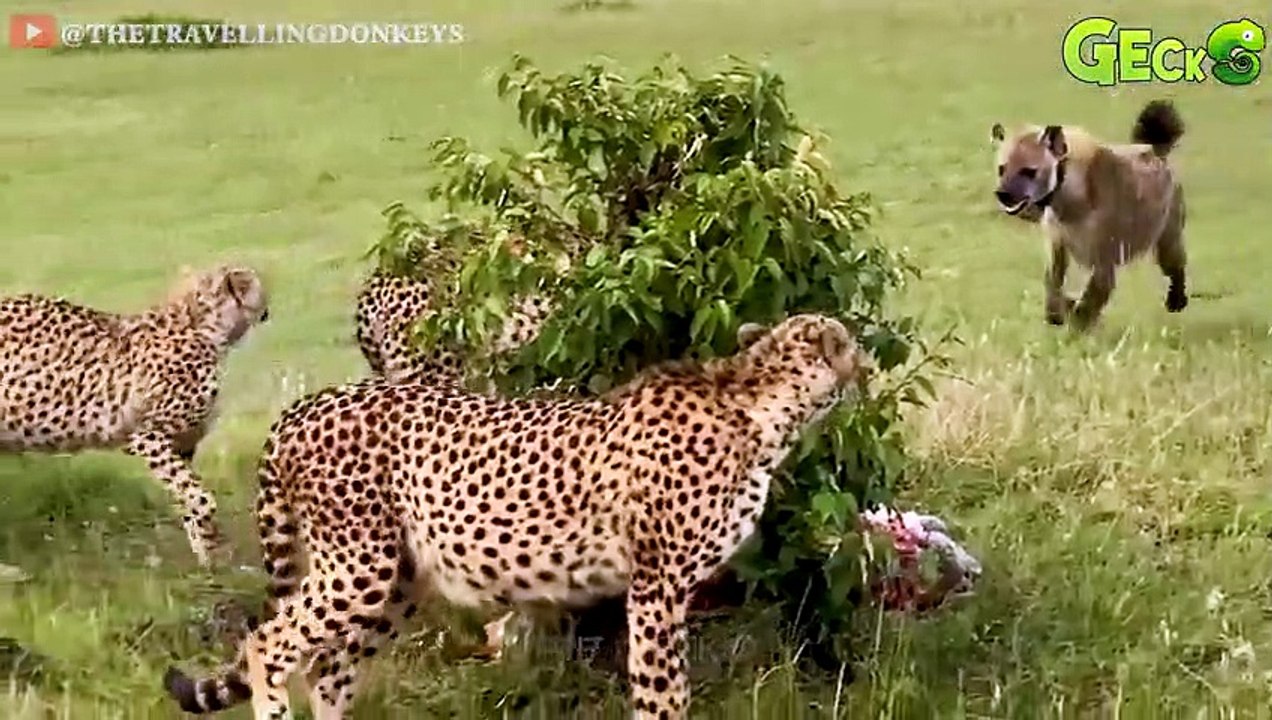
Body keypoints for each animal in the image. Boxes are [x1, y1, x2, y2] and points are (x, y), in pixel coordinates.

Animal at [0, 264, 269, 568]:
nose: (266, 306)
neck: (202, 323)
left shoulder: (181, 444)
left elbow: (187, 497)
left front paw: (207, 556)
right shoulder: (146, 436)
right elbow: (201, 499)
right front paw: (216, 550)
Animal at [162, 312, 872, 719]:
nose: (866, 361)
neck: (756, 404)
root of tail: (303, 407)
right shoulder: (656, 588)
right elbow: (661, 690)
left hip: (397, 580)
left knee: (329, 675)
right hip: (358, 565)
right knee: (268, 645)